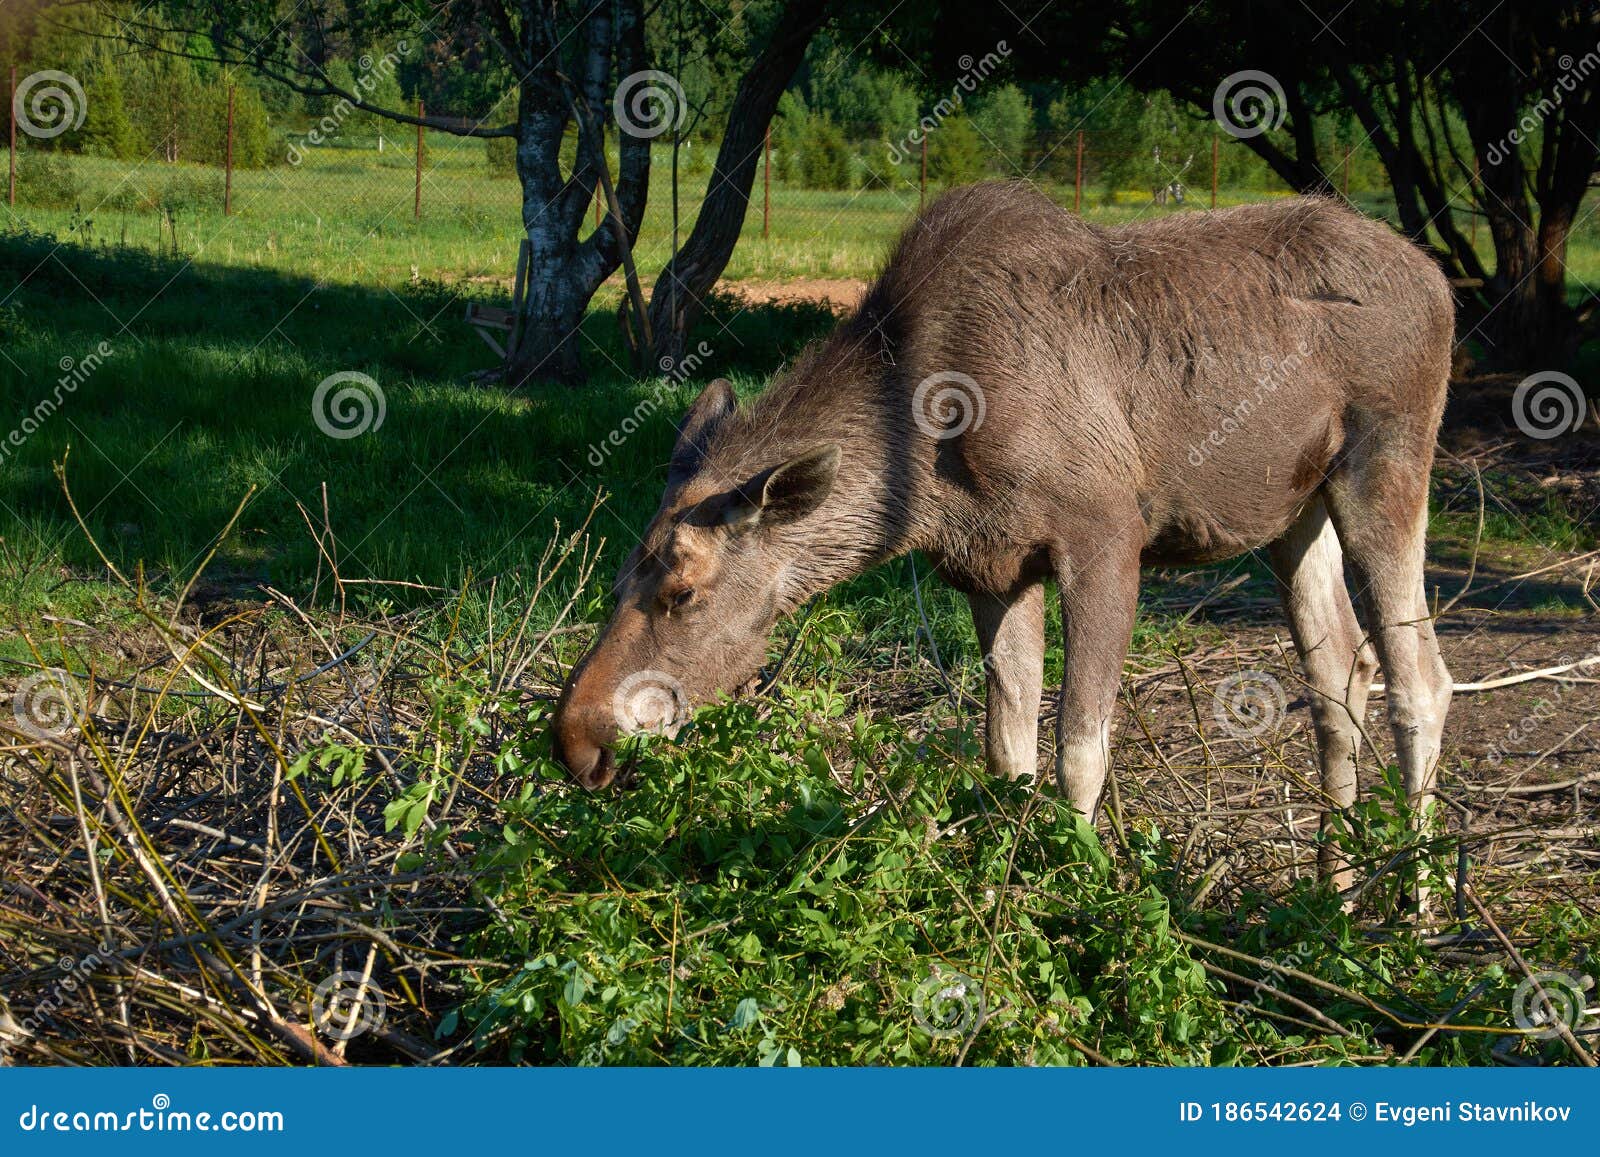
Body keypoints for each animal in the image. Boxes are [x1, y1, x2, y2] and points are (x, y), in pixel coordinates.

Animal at [552, 181, 1454, 890]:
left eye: (681, 589)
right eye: (620, 575)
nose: (574, 736)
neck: (922, 474)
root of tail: (1441, 281)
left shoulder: (1104, 537)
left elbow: (1077, 752)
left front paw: (1082, 903)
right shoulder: (992, 569)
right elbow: (1005, 759)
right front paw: (1006, 909)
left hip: (1389, 459)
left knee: (1422, 676)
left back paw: (1413, 909)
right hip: (1296, 510)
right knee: (1341, 673)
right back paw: (1333, 891)